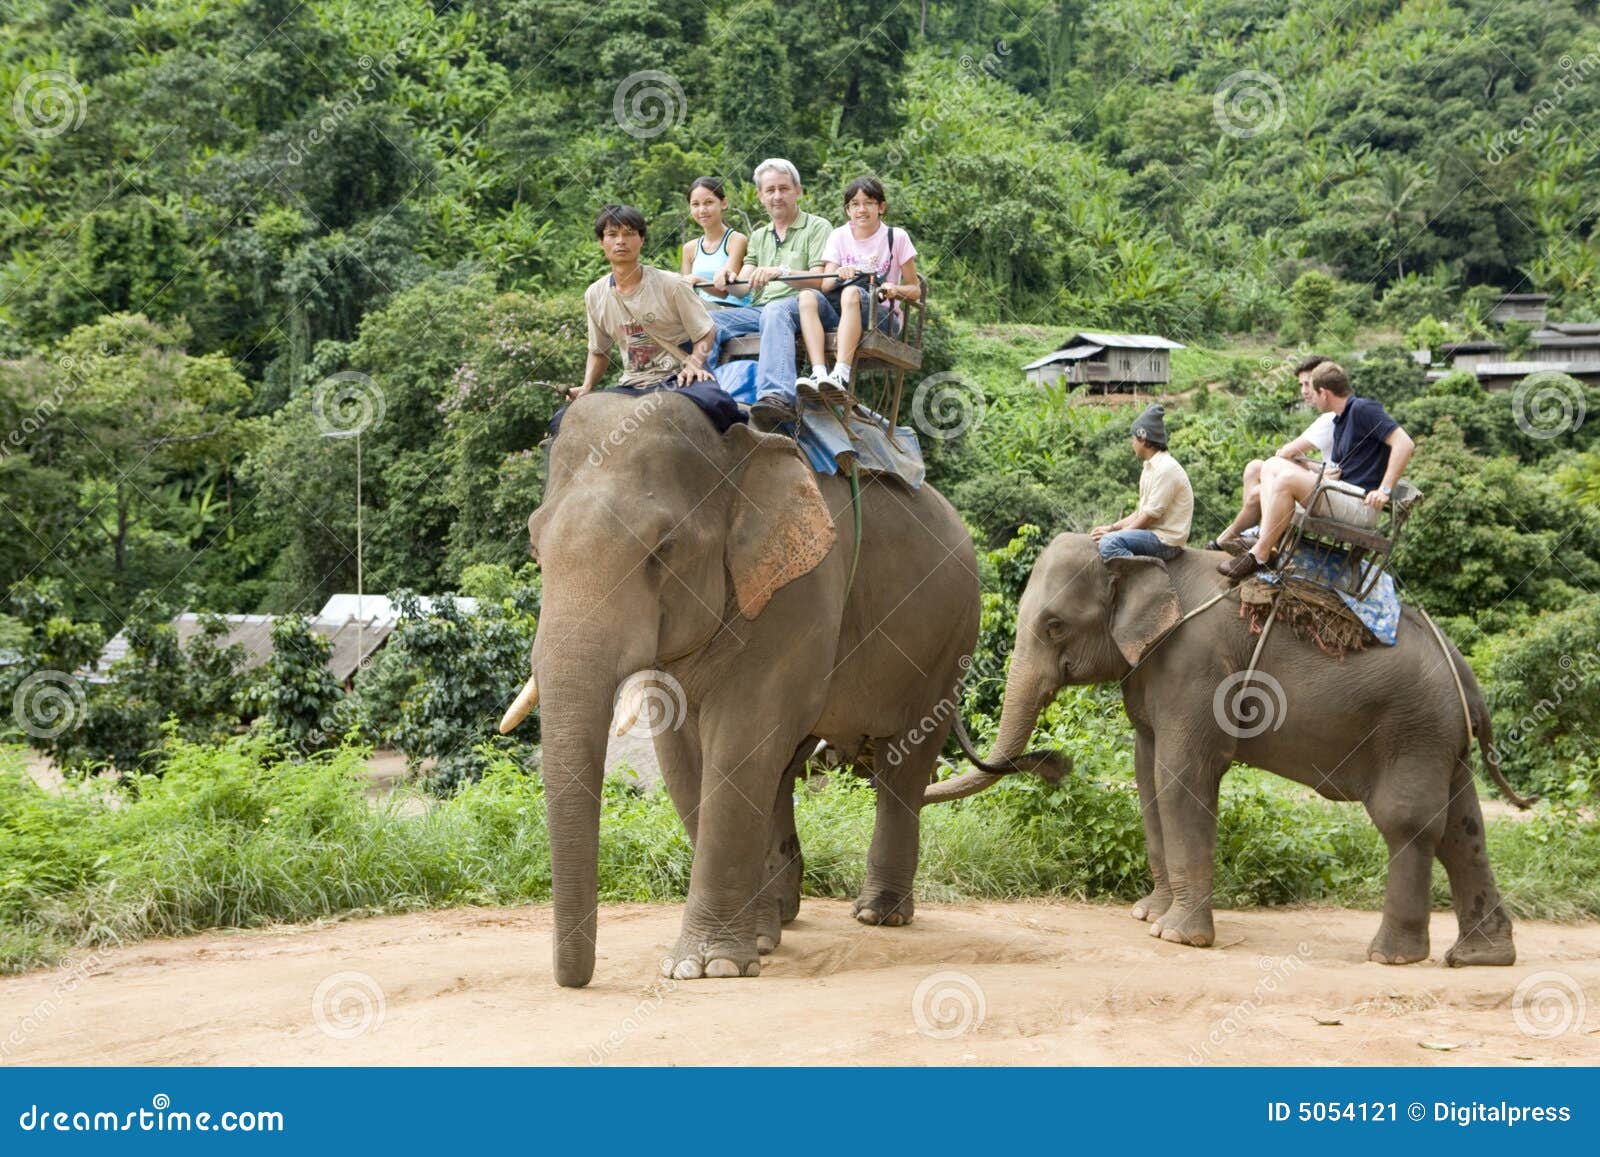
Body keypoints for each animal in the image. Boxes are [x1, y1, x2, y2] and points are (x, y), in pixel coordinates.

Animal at [499, 390, 1034, 987]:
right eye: (536, 548)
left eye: (663, 550)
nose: (575, 982)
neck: (735, 451)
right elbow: (685, 758)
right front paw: (753, 942)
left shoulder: (803, 587)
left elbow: (741, 739)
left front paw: (708, 966)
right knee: (784, 769)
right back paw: (782, 916)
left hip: (951, 637)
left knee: (903, 765)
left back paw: (879, 915)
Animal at [930, 532, 1530, 968]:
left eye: (1054, 626)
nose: (1055, 764)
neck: (1149, 563)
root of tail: (1468, 679)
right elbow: (1147, 775)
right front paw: (1146, 915)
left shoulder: (1197, 670)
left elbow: (1181, 776)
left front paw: (1178, 938)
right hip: (1438, 736)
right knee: (1461, 828)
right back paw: (1481, 958)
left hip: (1411, 727)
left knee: (1408, 821)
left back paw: (1391, 958)